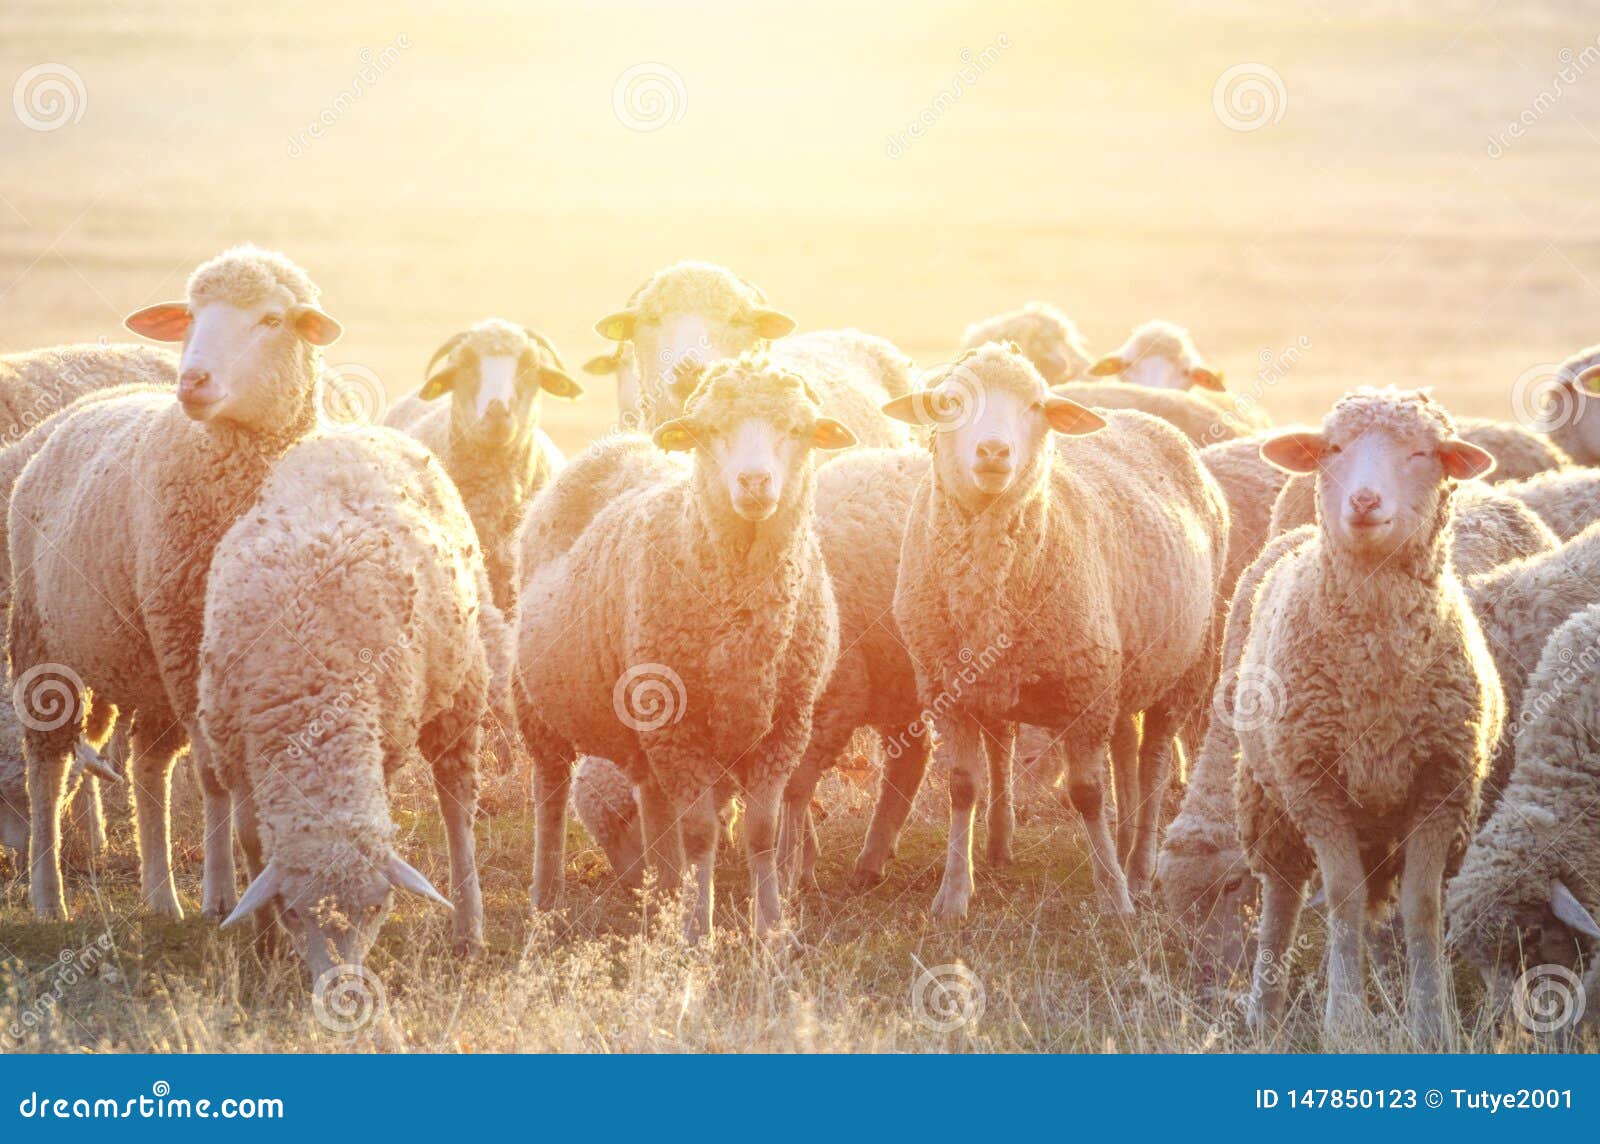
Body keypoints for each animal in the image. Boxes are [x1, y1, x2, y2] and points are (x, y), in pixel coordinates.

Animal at [202, 428, 503, 978]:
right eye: (294, 912)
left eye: (378, 907)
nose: (344, 987)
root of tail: (356, 430)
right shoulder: (234, 754)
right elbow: (251, 840)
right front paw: (265, 944)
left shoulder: (383, 743)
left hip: (462, 691)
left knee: (457, 807)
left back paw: (468, 929)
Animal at [515, 354, 856, 941]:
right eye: (709, 431)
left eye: (797, 429)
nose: (754, 481)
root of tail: (621, 443)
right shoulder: (681, 729)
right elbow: (699, 832)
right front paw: (699, 931)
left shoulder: (784, 728)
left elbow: (761, 832)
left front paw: (769, 927)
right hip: (539, 707)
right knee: (551, 795)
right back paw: (546, 898)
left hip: (643, 729)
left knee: (651, 804)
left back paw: (662, 898)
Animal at [885, 343, 1228, 915]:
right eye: (951, 403)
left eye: (1036, 406)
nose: (994, 451)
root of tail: (1141, 416)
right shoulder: (946, 690)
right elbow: (962, 787)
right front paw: (953, 894)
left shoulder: (1084, 689)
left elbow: (1087, 793)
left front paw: (1113, 896)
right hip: (1123, 667)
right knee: (1125, 748)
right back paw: (1121, 840)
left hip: (1185, 665)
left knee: (1154, 763)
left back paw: (1139, 867)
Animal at [1236, 388, 1502, 1045]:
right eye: (1332, 448)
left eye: (1421, 452)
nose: (1363, 500)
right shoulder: (1315, 785)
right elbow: (1342, 899)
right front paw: (1345, 1020)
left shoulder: (1443, 787)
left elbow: (1422, 908)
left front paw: (1431, 1023)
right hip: (1268, 794)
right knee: (1282, 896)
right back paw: (1264, 1013)